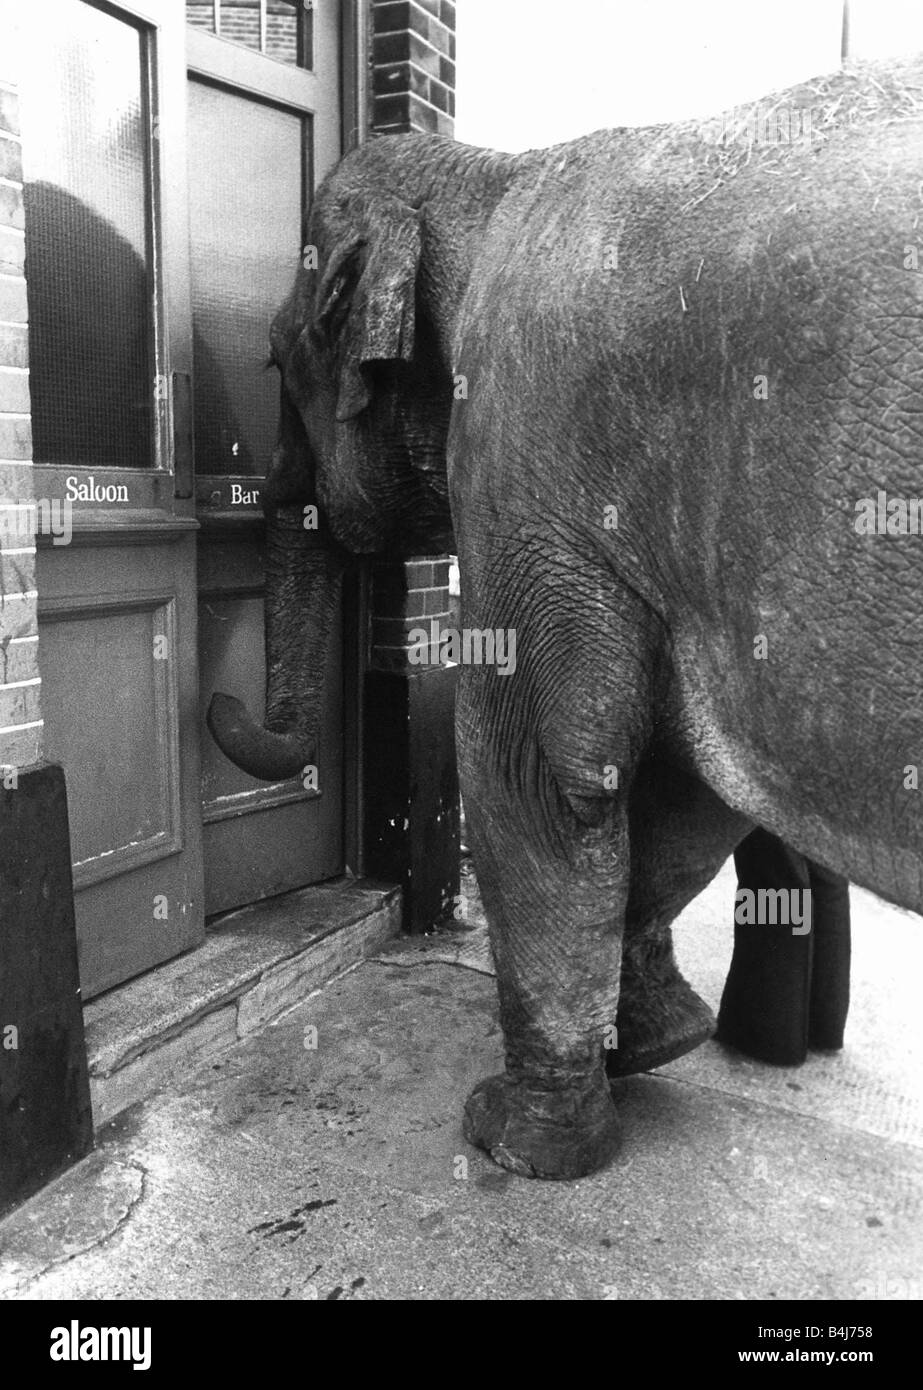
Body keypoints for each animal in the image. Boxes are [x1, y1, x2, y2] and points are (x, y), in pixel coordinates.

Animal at [209, 54, 923, 1179]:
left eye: (280, 361)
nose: (217, 702)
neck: (491, 172)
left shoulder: (526, 460)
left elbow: (544, 770)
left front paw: (518, 1139)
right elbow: (676, 790)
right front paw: (656, 1044)